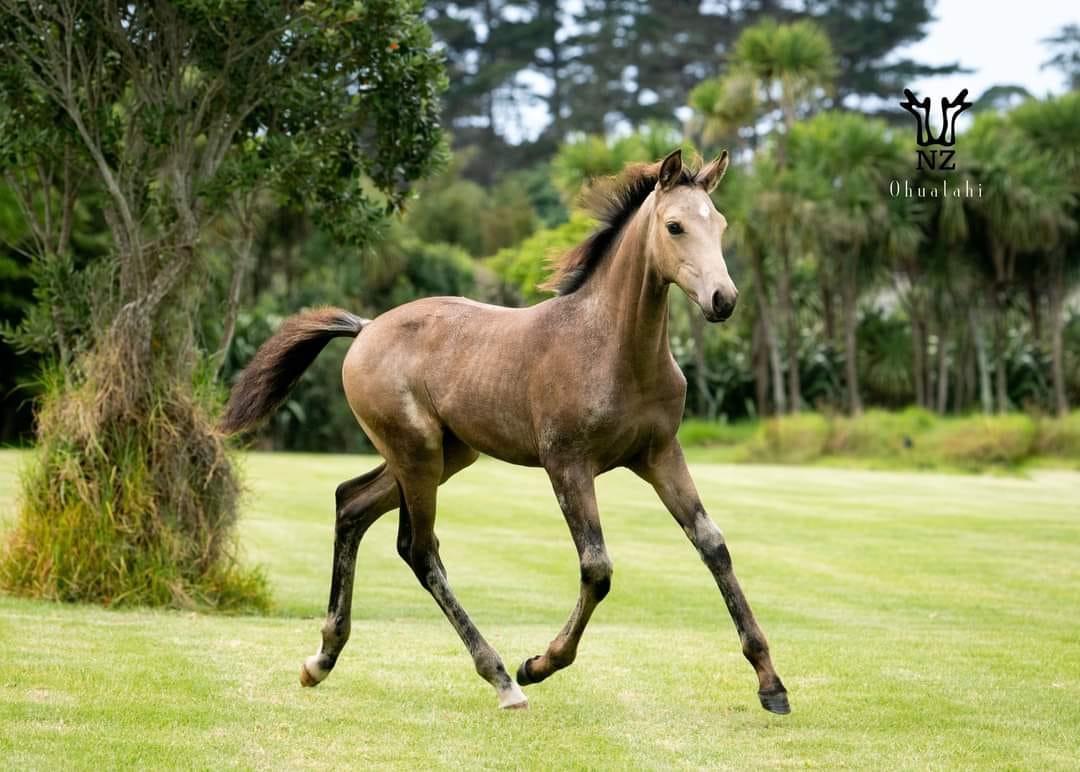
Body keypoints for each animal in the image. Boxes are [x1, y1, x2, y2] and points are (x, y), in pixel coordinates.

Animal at [220, 148, 790, 714]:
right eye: (674, 226)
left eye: (720, 224)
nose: (723, 300)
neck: (616, 349)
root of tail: (365, 328)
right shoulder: (567, 464)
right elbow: (597, 568)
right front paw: (539, 664)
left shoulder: (660, 454)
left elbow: (712, 545)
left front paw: (771, 682)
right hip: (417, 455)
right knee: (418, 549)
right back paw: (500, 678)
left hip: (444, 455)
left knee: (351, 503)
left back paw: (321, 659)